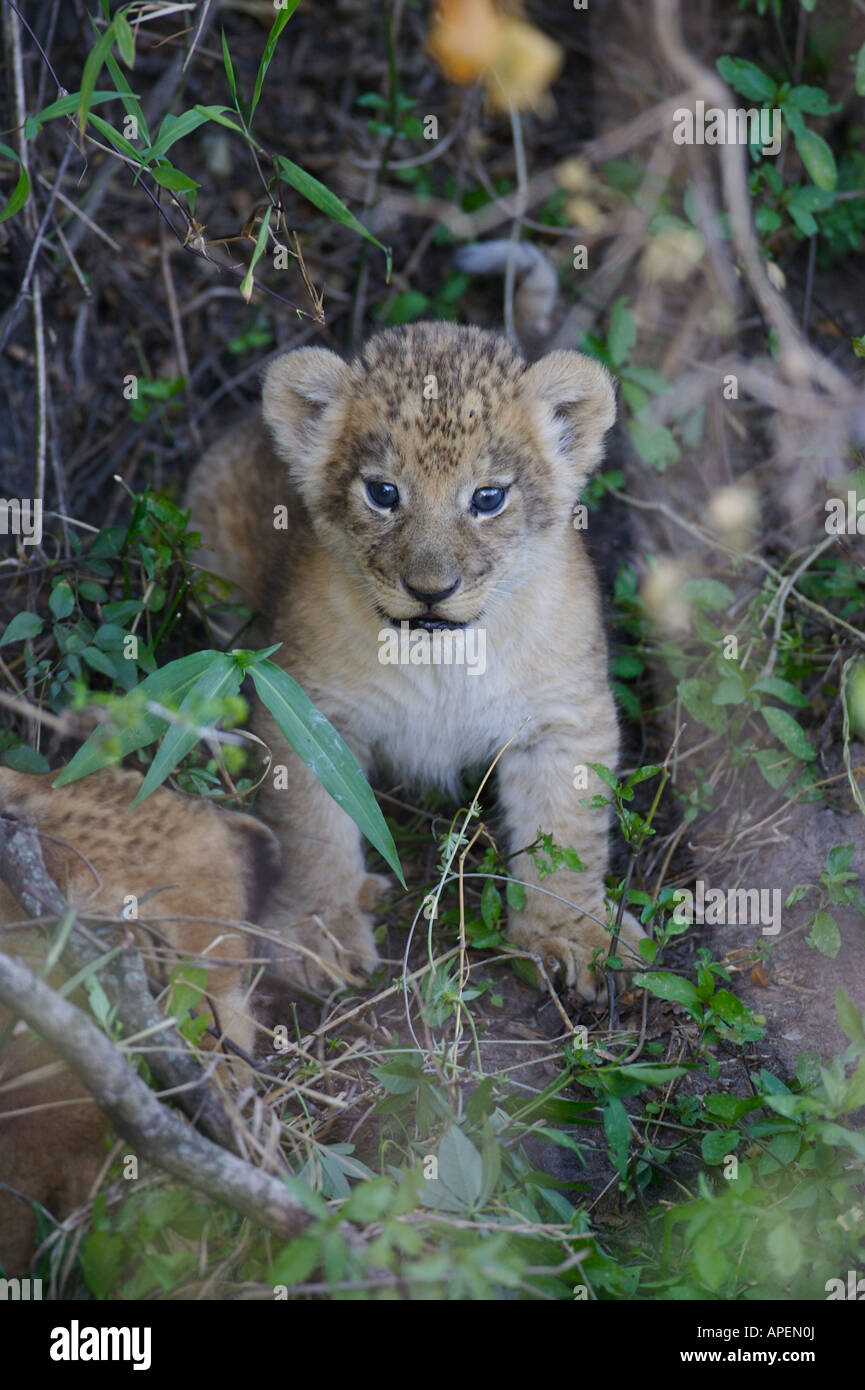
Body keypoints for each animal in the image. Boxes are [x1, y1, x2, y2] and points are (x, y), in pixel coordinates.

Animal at [187, 322, 647, 996]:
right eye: (383, 493)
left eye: (488, 497)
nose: (432, 590)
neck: (442, 658)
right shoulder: (307, 711)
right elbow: (312, 830)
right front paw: (317, 930)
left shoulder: (562, 718)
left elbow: (567, 830)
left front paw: (575, 932)